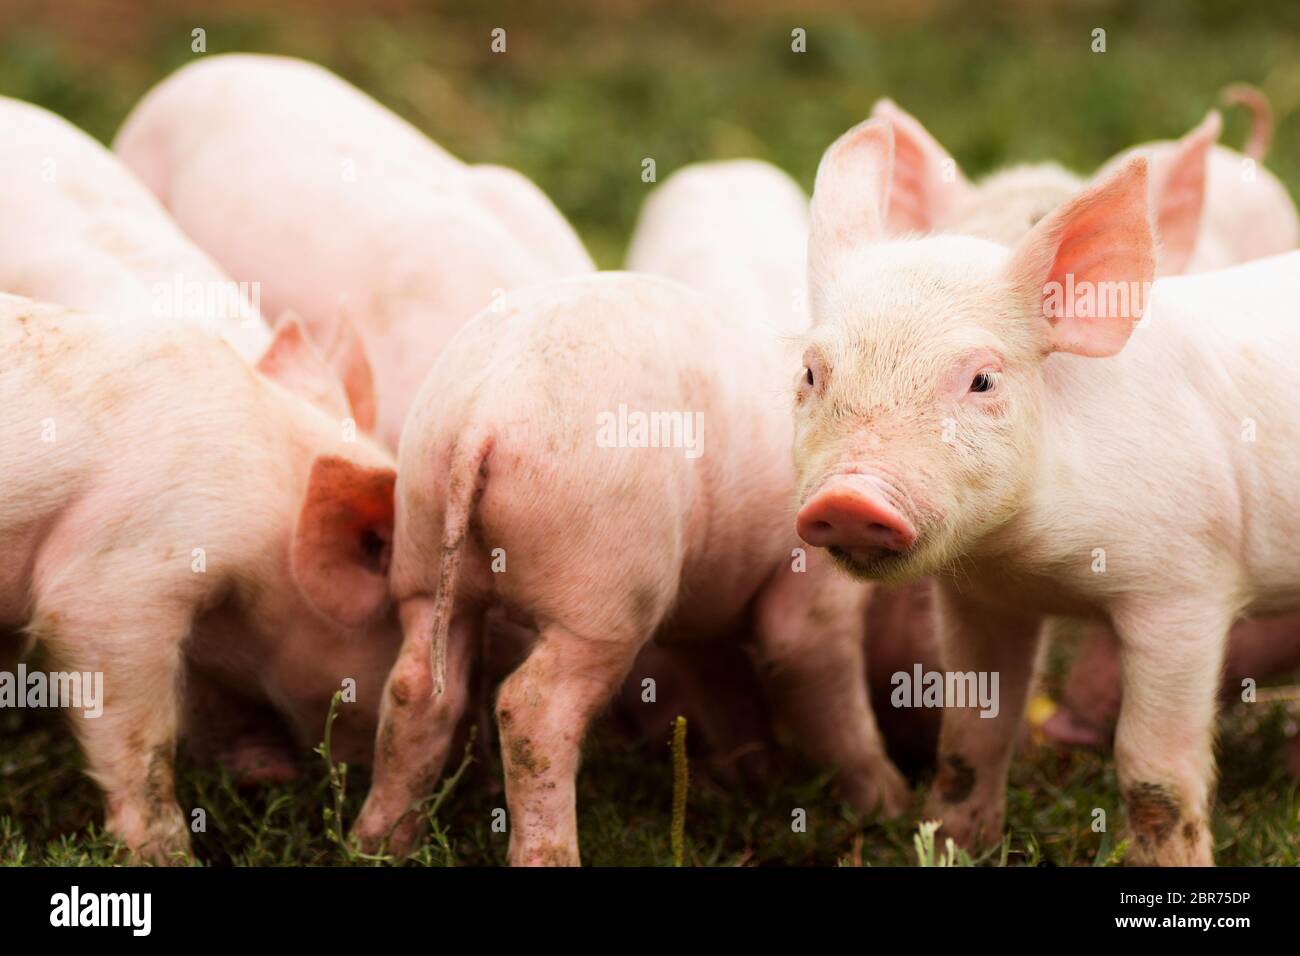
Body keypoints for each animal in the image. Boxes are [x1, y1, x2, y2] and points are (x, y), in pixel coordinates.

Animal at [351, 272, 908, 865]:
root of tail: (481, 417)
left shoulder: (705, 612)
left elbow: (727, 686)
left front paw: (758, 781)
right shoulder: (812, 582)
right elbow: (812, 666)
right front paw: (889, 804)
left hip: (422, 547)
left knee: (417, 689)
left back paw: (374, 844)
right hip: (604, 589)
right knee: (531, 707)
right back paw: (552, 856)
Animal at [794, 115, 1300, 865]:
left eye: (981, 380)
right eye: (810, 372)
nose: (849, 498)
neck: (1034, 562)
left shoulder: (1187, 591)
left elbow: (1154, 766)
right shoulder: (980, 599)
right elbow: (971, 736)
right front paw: (956, 846)